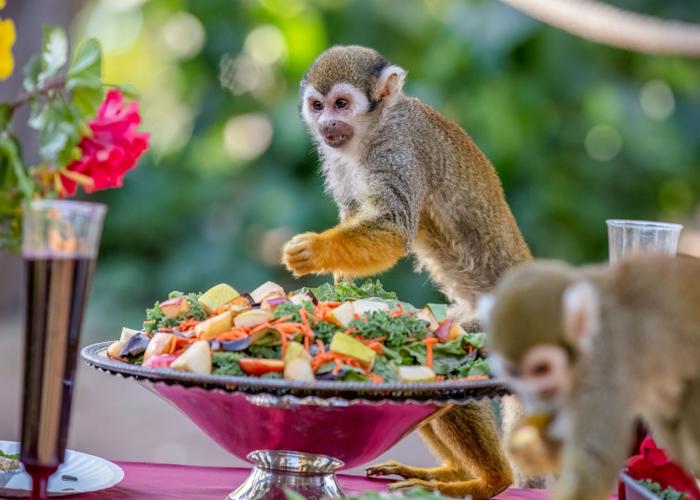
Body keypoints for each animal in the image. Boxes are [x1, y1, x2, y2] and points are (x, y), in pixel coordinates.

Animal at [281, 45, 532, 499]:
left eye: (341, 104)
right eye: (318, 106)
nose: (326, 124)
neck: (371, 130)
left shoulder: (397, 150)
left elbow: (395, 229)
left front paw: (317, 249)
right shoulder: (338, 158)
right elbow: (359, 215)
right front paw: (340, 282)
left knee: (450, 357)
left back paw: (489, 481)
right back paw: (450, 474)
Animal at [478, 254, 700, 500]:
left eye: (541, 369)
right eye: (514, 373)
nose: (539, 392)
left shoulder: (604, 367)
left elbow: (594, 465)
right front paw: (531, 448)